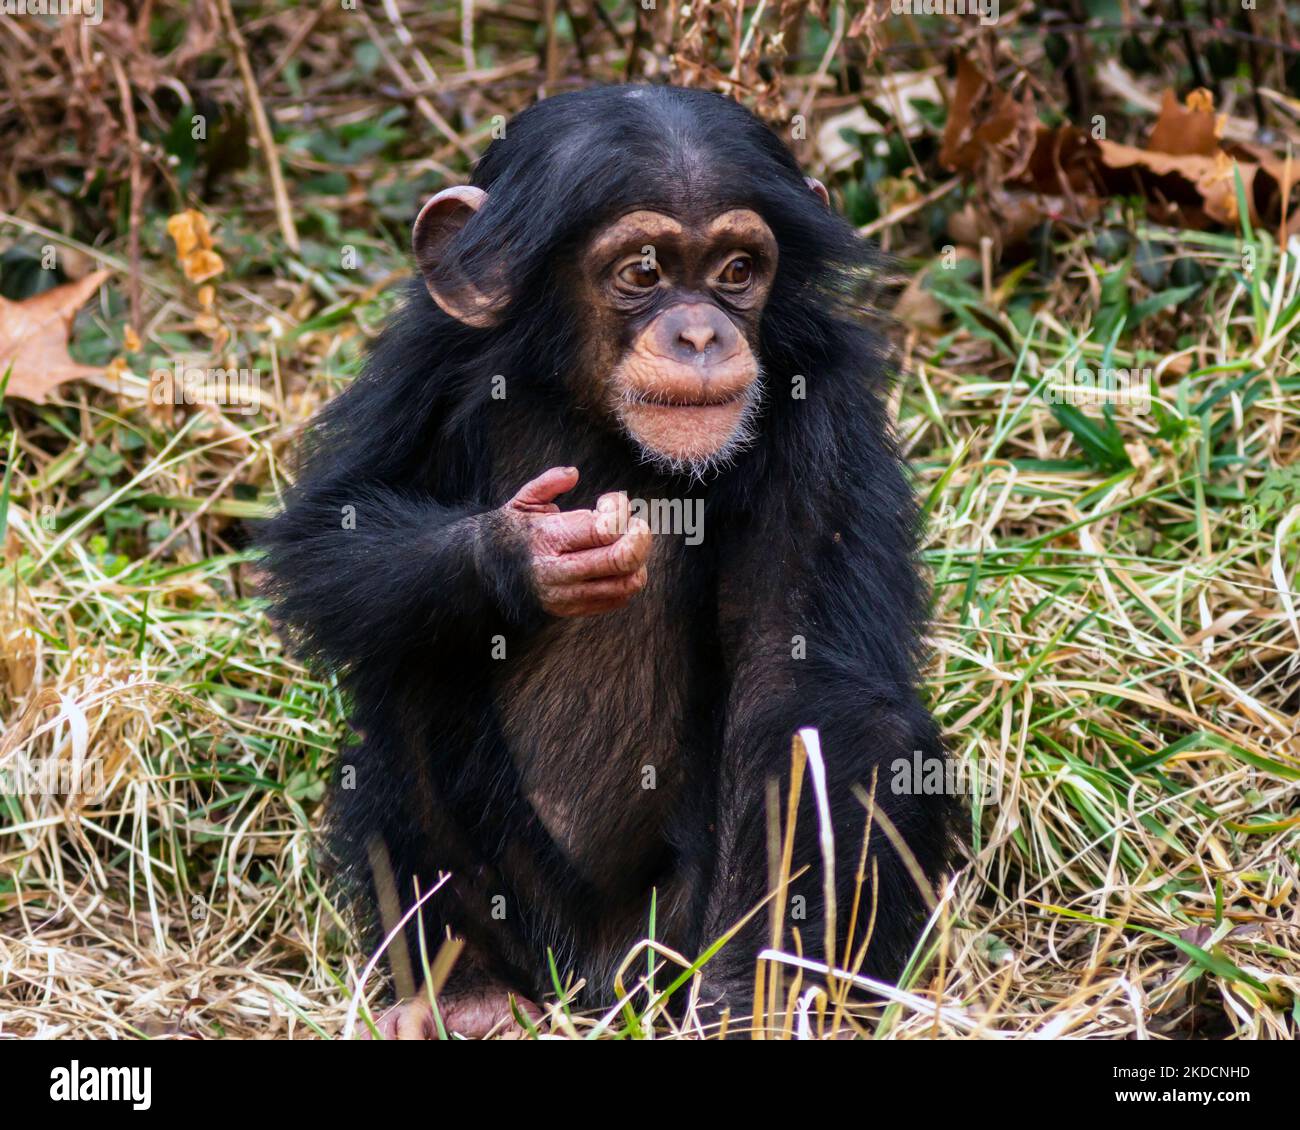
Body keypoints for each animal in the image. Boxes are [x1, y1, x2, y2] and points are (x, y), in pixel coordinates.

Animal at [260, 84, 956, 1039]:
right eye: (644, 272)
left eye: (738, 270)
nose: (700, 333)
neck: (593, 410)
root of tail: (592, 975)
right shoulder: (422, 365)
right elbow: (330, 534)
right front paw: (530, 551)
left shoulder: (827, 410)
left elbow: (803, 692)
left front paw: (746, 998)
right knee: (405, 661)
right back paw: (467, 989)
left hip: (662, 935)